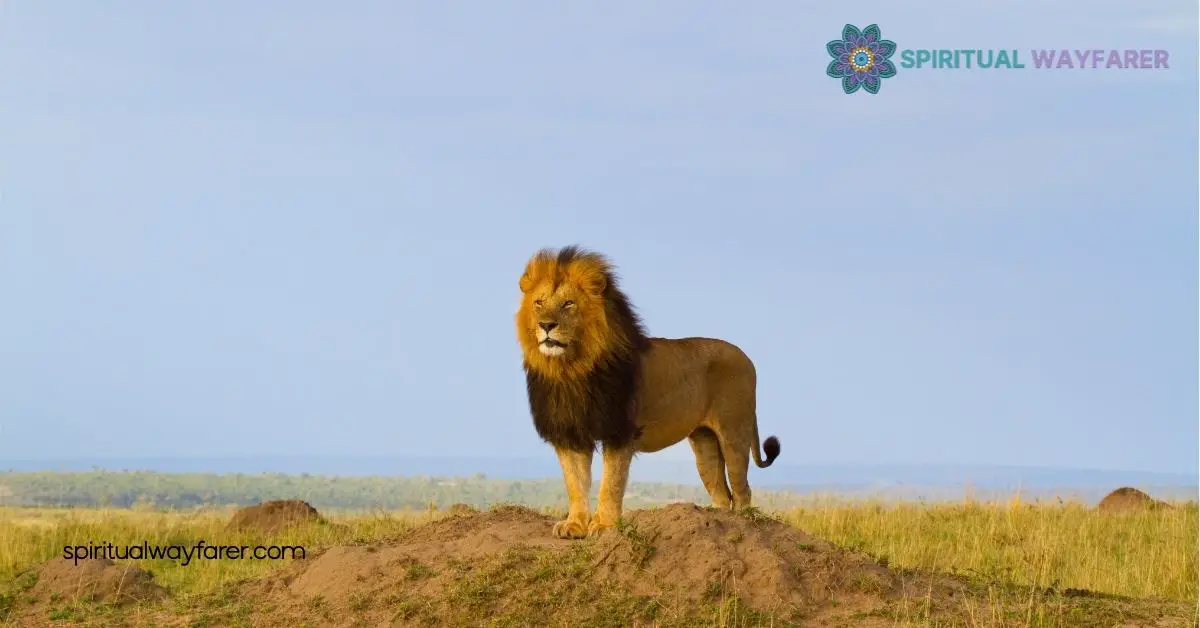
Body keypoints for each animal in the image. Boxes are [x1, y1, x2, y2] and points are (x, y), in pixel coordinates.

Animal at [516, 246, 781, 539]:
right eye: (539, 303)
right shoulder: (570, 434)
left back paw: (744, 528)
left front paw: (604, 525)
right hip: (705, 442)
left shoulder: (619, 431)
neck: (571, 370)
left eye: (568, 304)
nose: (546, 325)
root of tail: (746, 357)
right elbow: (575, 484)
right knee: (722, 493)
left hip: (734, 430)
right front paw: (574, 525)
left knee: (742, 490)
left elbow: (610, 483)